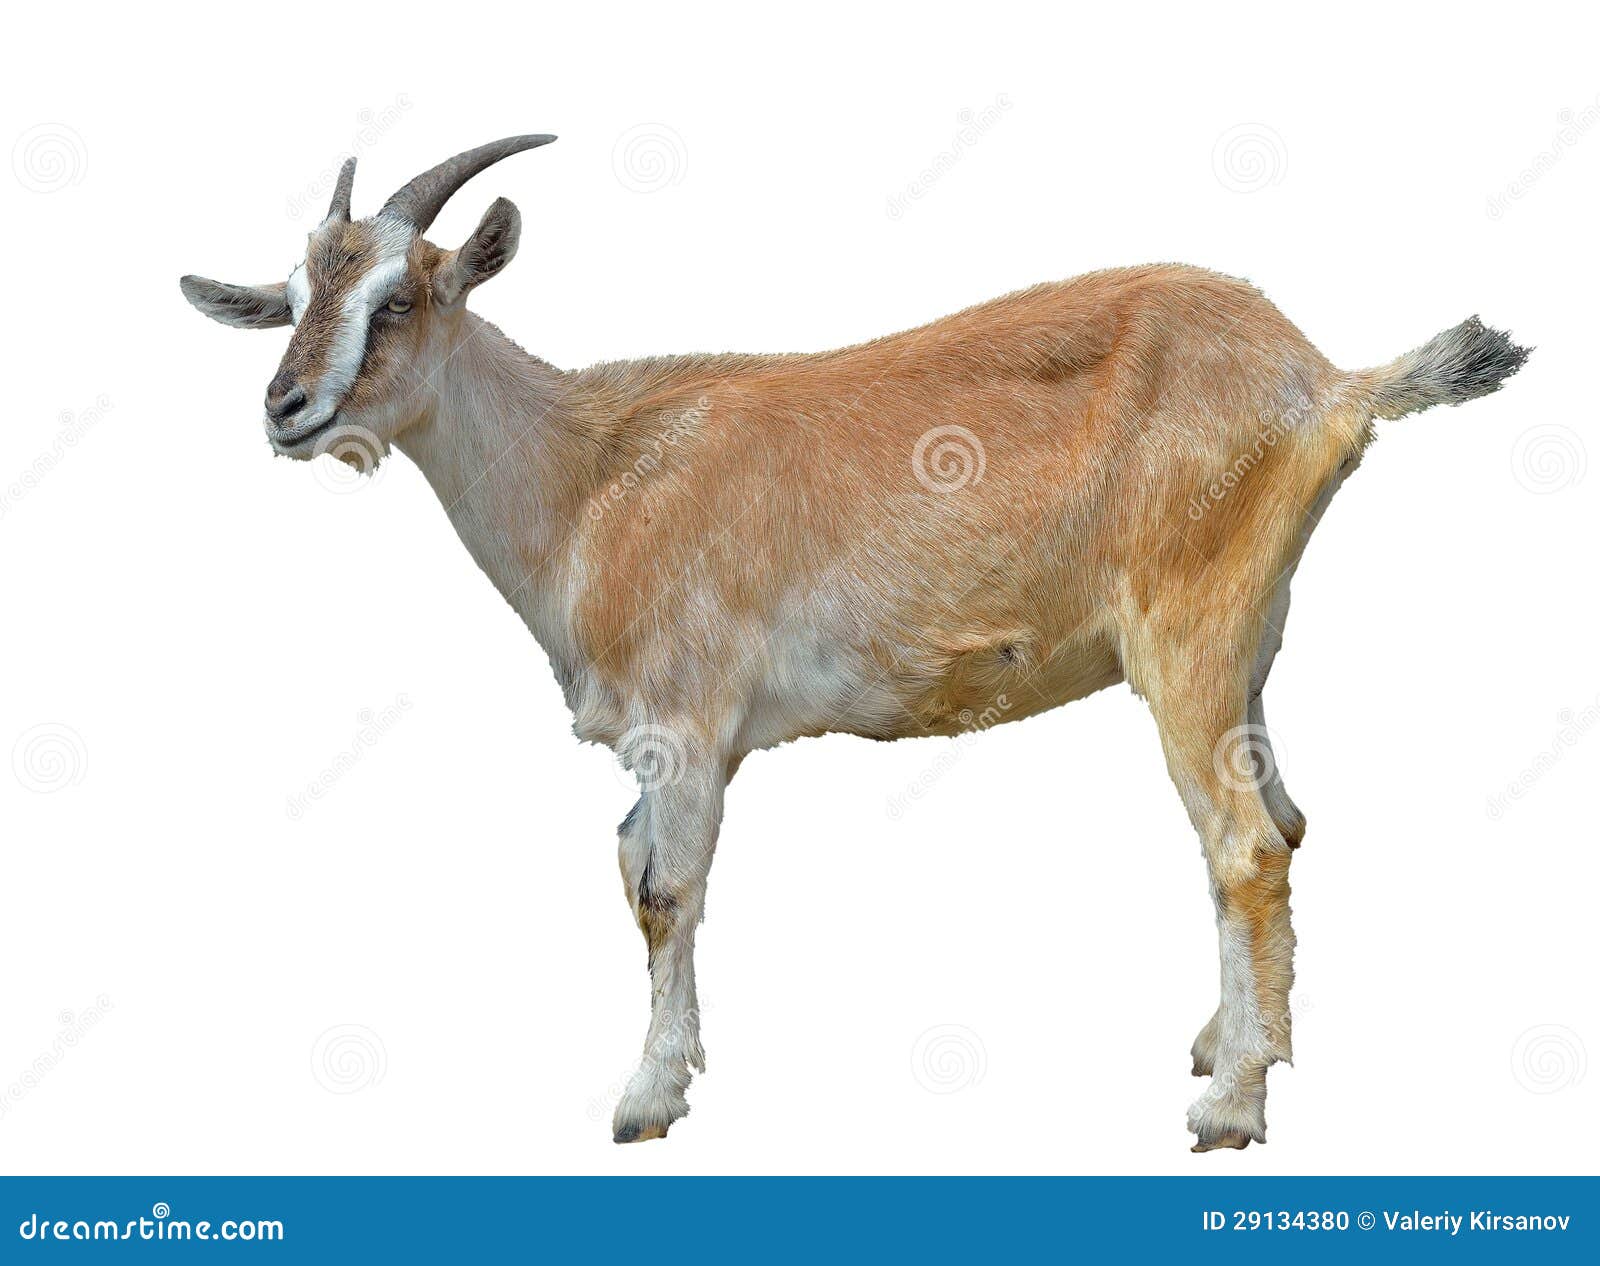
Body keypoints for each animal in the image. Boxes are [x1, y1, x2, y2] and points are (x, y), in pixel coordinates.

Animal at [181, 135, 1529, 1150]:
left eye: (399, 300)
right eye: (290, 303)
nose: (285, 410)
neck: (591, 474)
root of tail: (1326, 382)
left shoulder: (684, 724)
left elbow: (663, 889)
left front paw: (645, 1099)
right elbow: (629, 871)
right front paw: (677, 1071)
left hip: (1188, 633)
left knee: (1243, 842)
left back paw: (1230, 1110)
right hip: (1252, 640)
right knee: (1282, 822)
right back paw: (1241, 1046)